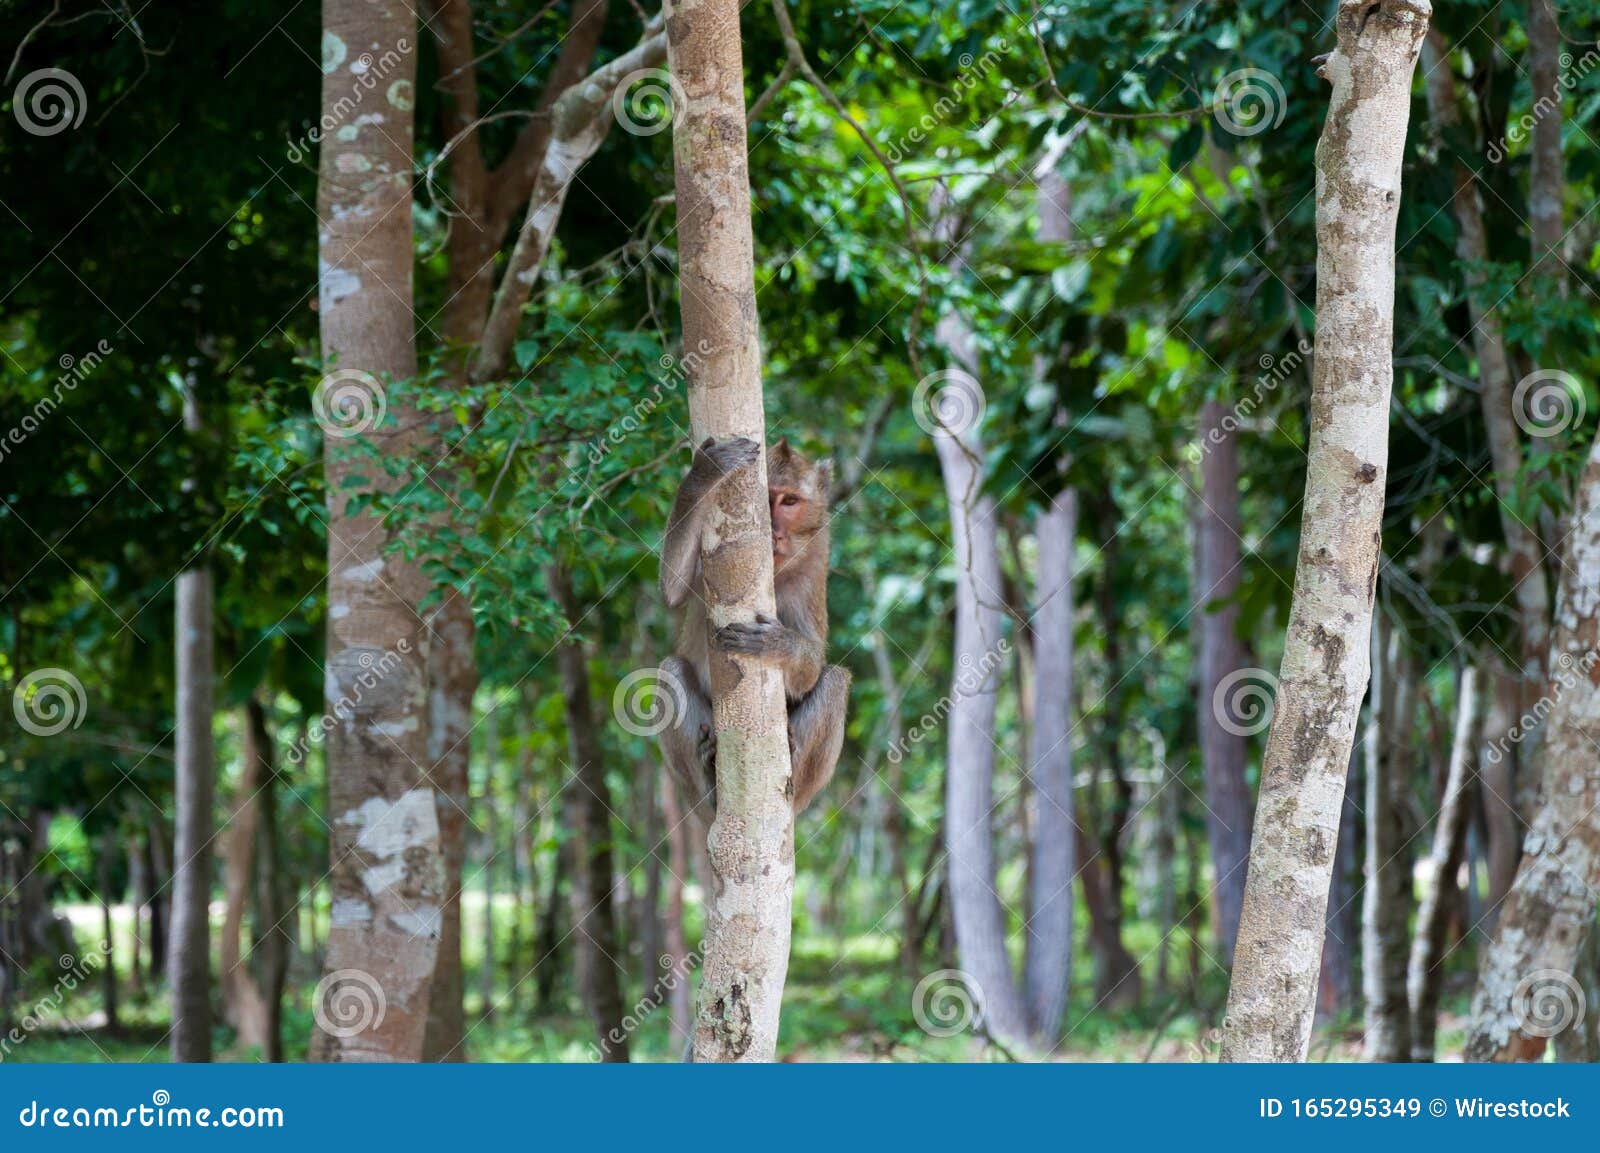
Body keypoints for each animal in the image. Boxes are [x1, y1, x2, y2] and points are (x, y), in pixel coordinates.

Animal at [656, 435, 850, 827]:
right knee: (670, 669)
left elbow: (809, 670)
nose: (774, 530)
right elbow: (672, 587)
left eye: (790, 501)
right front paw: (706, 472)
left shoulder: (816, 558)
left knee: (836, 681)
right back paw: (709, 771)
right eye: (768, 496)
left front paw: (778, 644)